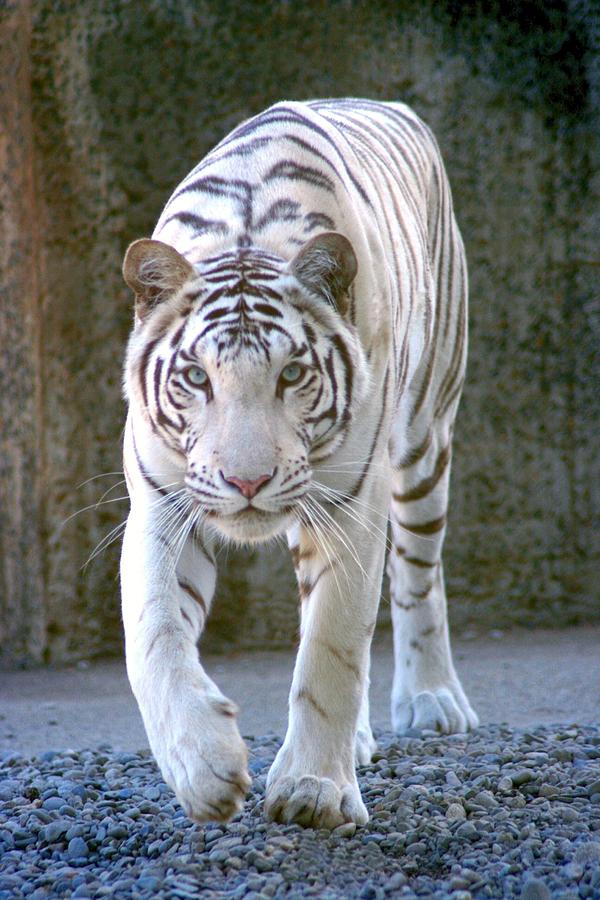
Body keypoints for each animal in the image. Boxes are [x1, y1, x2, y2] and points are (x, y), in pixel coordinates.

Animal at [120, 98, 478, 830]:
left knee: (417, 577)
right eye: (196, 377)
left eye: (291, 374)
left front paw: (315, 790)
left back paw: (432, 700)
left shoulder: (351, 502)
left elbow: (333, 649)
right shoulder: (161, 502)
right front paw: (204, 768)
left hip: (426, 436)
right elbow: (155, 635)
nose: (247, 481)